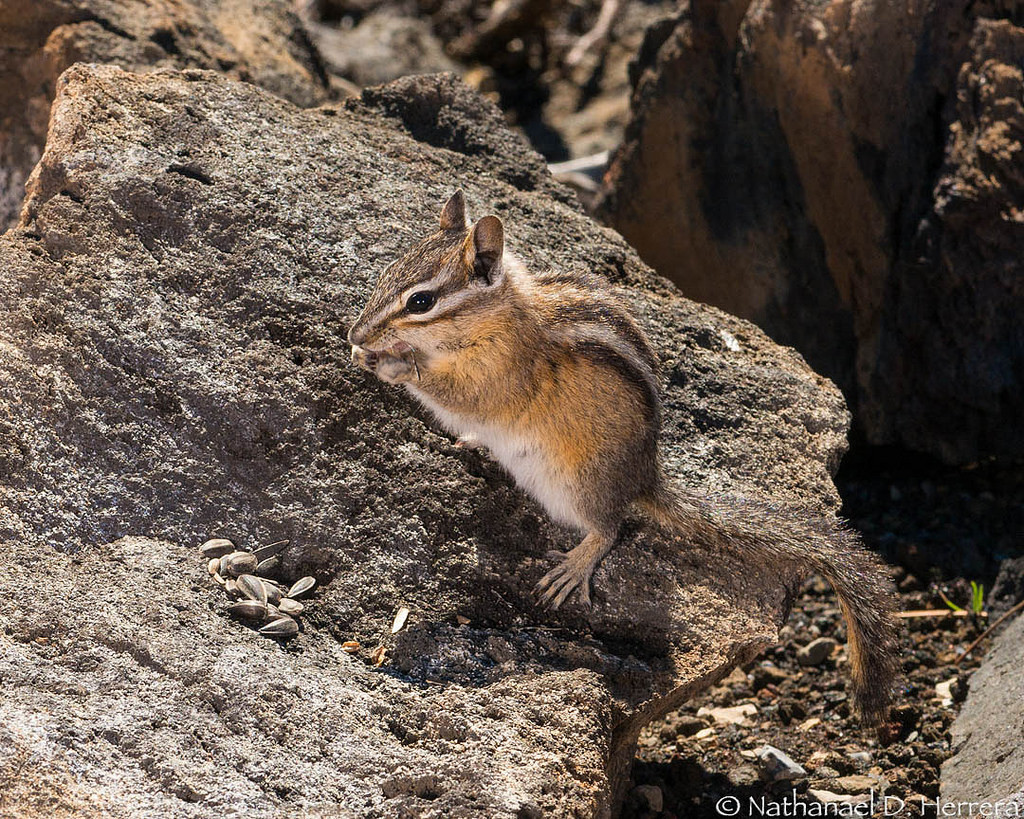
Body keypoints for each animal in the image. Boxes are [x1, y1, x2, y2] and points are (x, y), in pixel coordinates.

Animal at [348, 191, 900, 725]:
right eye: (387, 270)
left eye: (421, 301)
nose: (356, 335)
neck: (496, 317)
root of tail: (645, 477)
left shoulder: (498, 378)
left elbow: (452, 393)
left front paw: (391, 364)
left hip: (579, 485)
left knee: (610, 527)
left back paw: (574, 566)